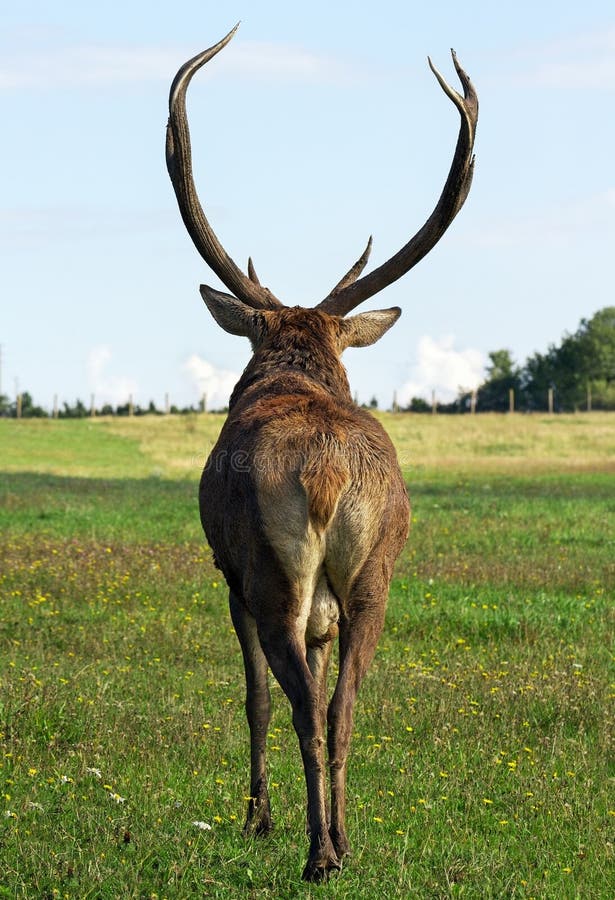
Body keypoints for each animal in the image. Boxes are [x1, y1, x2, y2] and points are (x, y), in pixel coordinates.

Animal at [166, 24, 478, 882]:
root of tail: (332, 474)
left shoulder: (228, 578)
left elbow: (253, 698)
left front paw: (255, 818)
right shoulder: (331, 607)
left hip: (270, 574)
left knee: (301, 703)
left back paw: (315, 852)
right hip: (375, 577)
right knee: (342, 709)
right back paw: (342, 842)